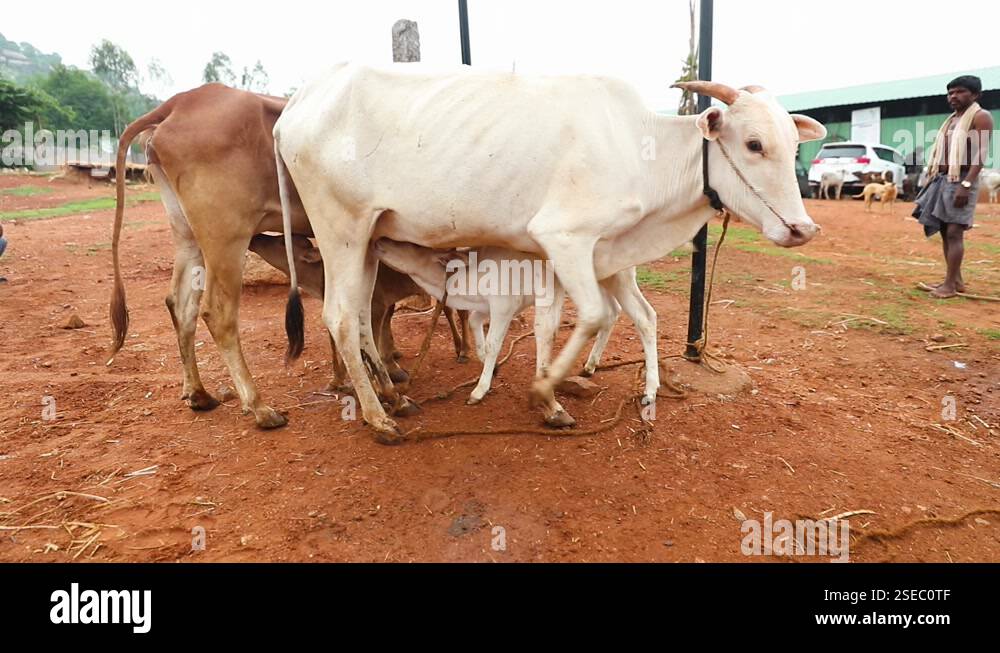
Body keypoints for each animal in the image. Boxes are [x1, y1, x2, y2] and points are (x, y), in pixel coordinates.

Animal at [372, 239, 659, 419]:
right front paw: (485, 362)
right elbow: (475, 324)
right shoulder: (484, 306)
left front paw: (479, 390)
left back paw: (650, 392)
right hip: (606, 278)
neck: (468, 283)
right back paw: (590, 365)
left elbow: (494, 342)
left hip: (619, 276)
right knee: (615, 313)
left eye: (412, 244)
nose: (379, 241)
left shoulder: (504, 304)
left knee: (644, 316)